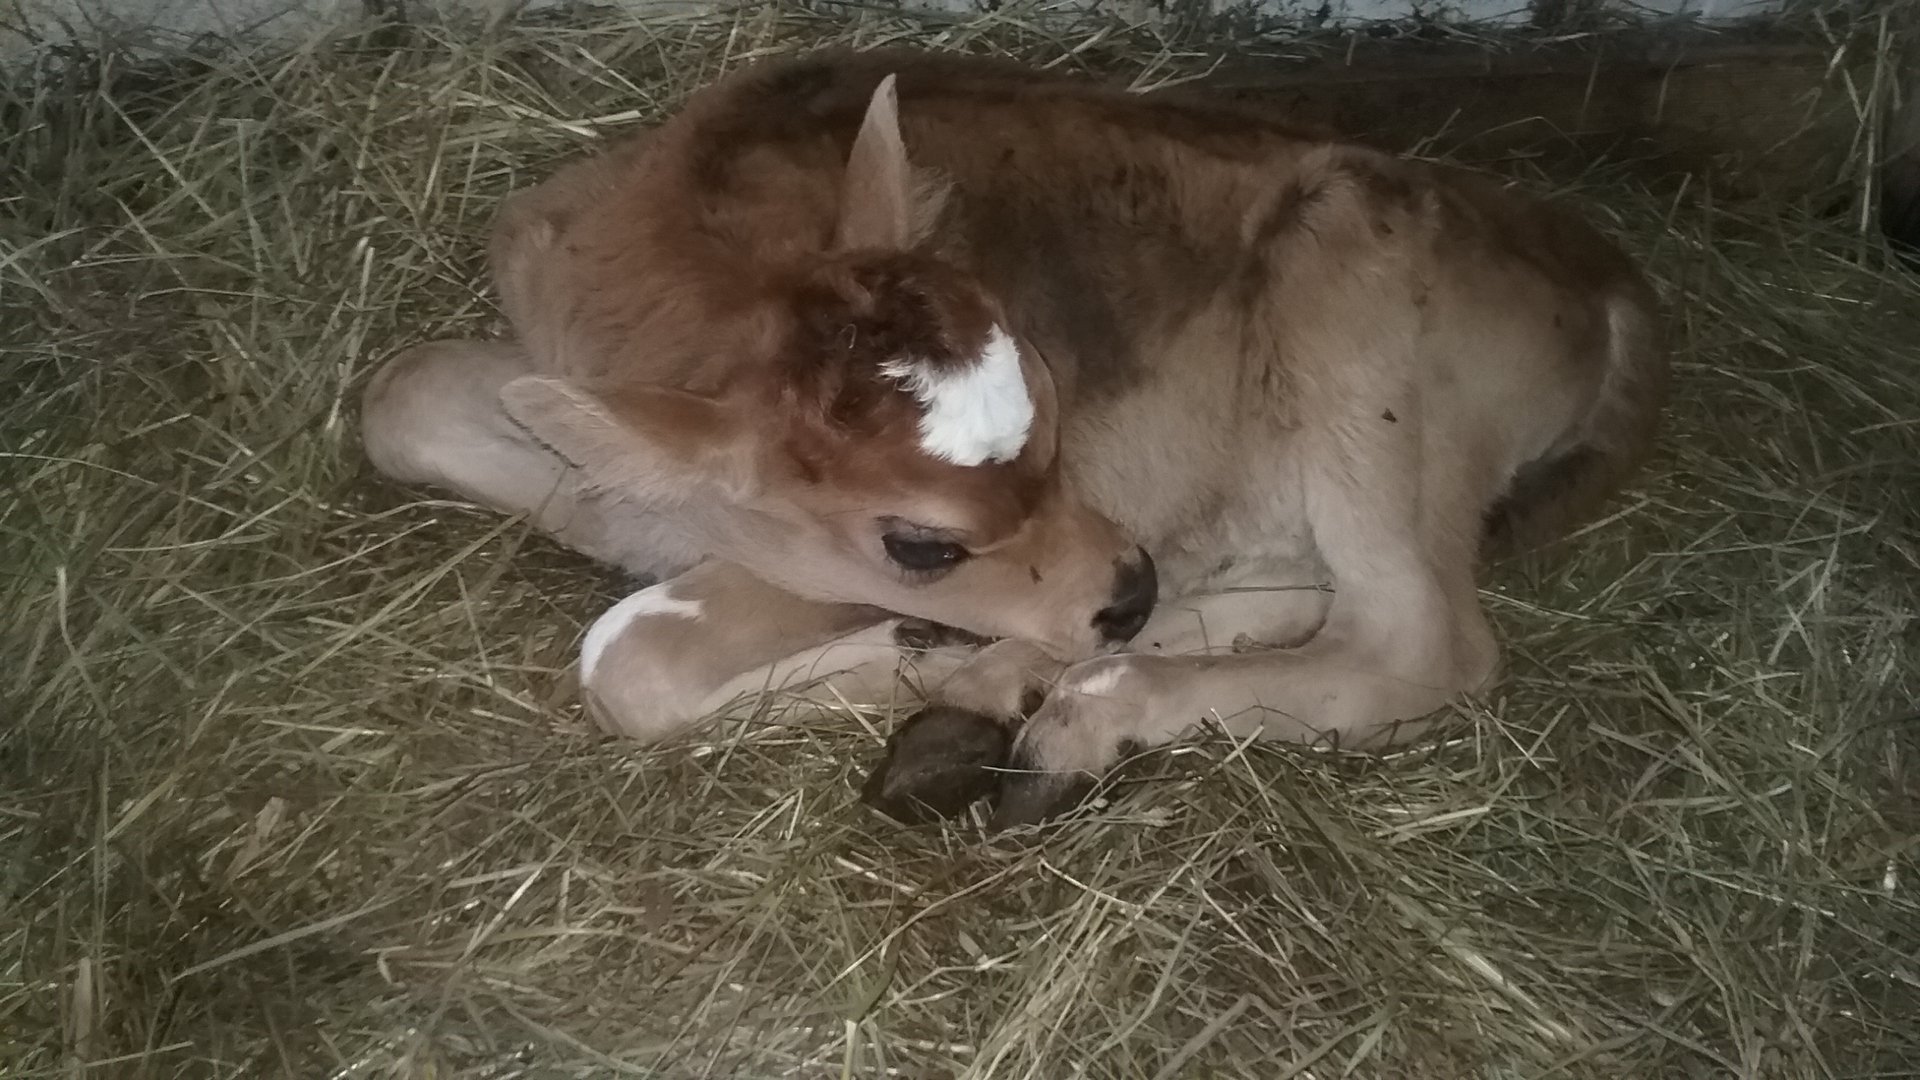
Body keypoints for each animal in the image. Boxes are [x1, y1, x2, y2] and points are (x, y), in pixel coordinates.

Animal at [358, 47, 1669, 829]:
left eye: (1051, 402)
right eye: (920, 541)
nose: (1130, 581)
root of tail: (1607, 270)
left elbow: (629, 654)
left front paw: (914, 650)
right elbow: (400, 394)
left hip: (1358, 316)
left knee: (1421, 641)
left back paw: (1077, 711)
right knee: (1304, 598)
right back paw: (1012, 691)